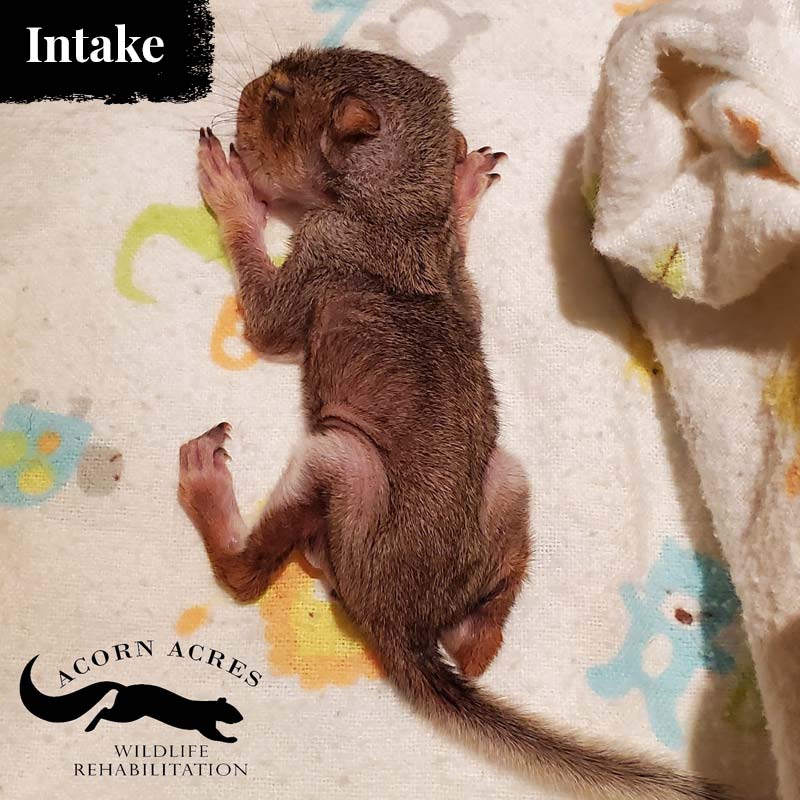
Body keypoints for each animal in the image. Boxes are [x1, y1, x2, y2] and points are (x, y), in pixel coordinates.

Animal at [20, 655, 243, 743]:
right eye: (233, 710)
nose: (241, 718)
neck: (209, 708)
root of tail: (123, 688)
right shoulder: (205, 724)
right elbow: (214, 735)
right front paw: (231, 738)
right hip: (128, 712)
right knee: (104, 711)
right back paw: (90, 727)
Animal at [177, 47, 731, 799]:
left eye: (278, 99)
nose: (248, 91)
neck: (401, 210)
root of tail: (404, 623)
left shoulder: (323, 251)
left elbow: (265, 315)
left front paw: (233, 188)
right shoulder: (451, 273)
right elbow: (466, 286)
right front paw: (464, 186)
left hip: (344, 462)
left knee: (246, 572)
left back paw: (206, 486)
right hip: (504, 478)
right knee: (475, 650)